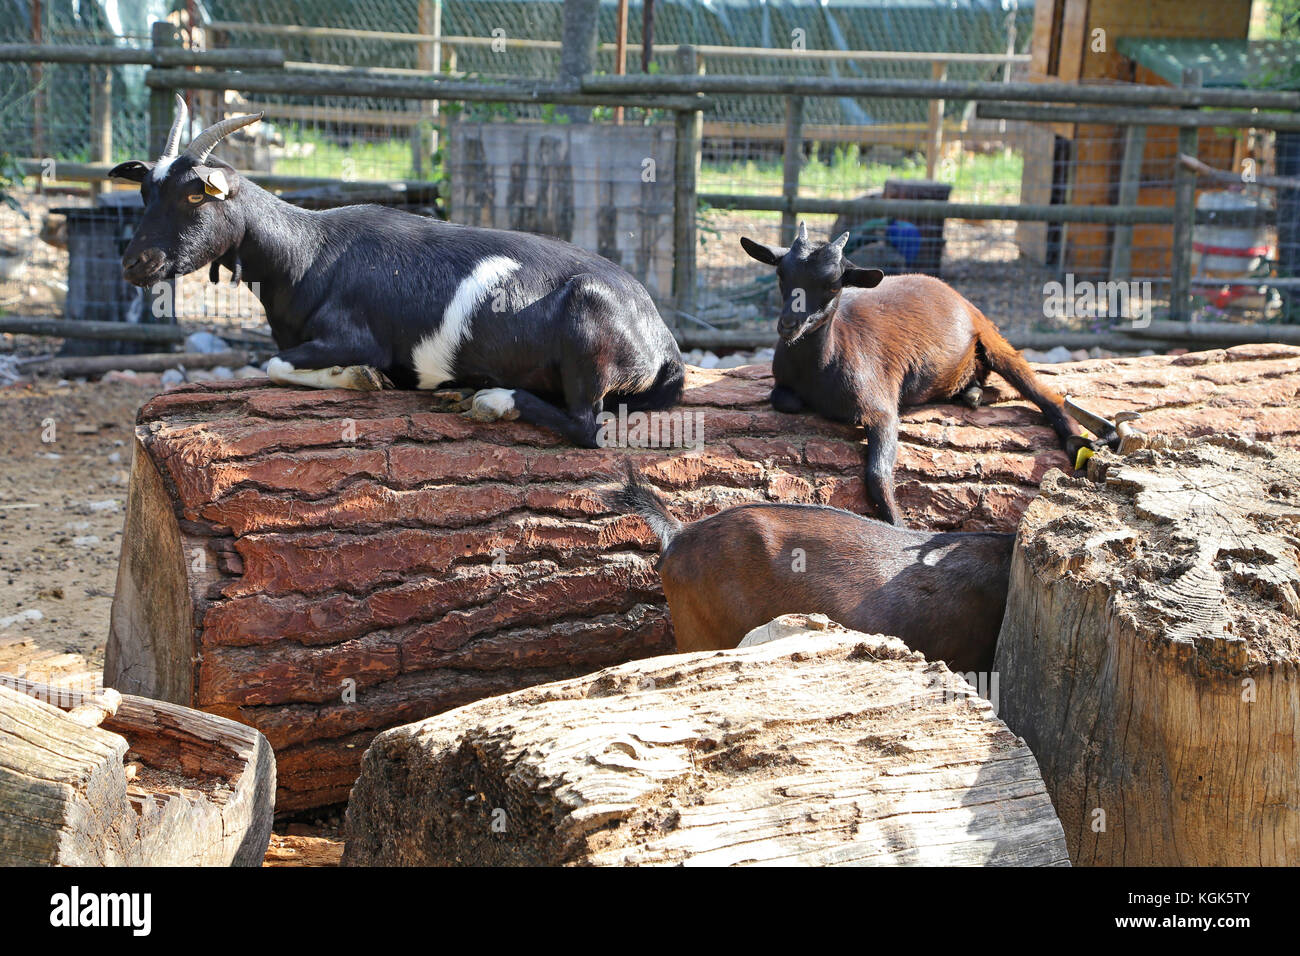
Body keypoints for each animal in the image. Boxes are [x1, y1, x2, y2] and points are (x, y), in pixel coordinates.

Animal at [109, 95, 684, 447]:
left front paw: (360, 377)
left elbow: (275, 364)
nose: (134, 263)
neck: (307, 254)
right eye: (144, 191)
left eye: (194, 195)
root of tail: (663, 344)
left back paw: (492, 400)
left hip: (589, 318)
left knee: (588, 426)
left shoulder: (356, 336)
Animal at [740, 223, 1083, 525]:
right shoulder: (784, 384)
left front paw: (897, 524)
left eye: (833, 284)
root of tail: (952, 293)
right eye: (781, 274)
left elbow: (878, 473)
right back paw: (971, 393)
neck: (820, 365)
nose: (788, 325)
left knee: (1043, 392)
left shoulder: (882, 408)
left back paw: (1077, 442)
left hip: (992, 338)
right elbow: (784, 399)